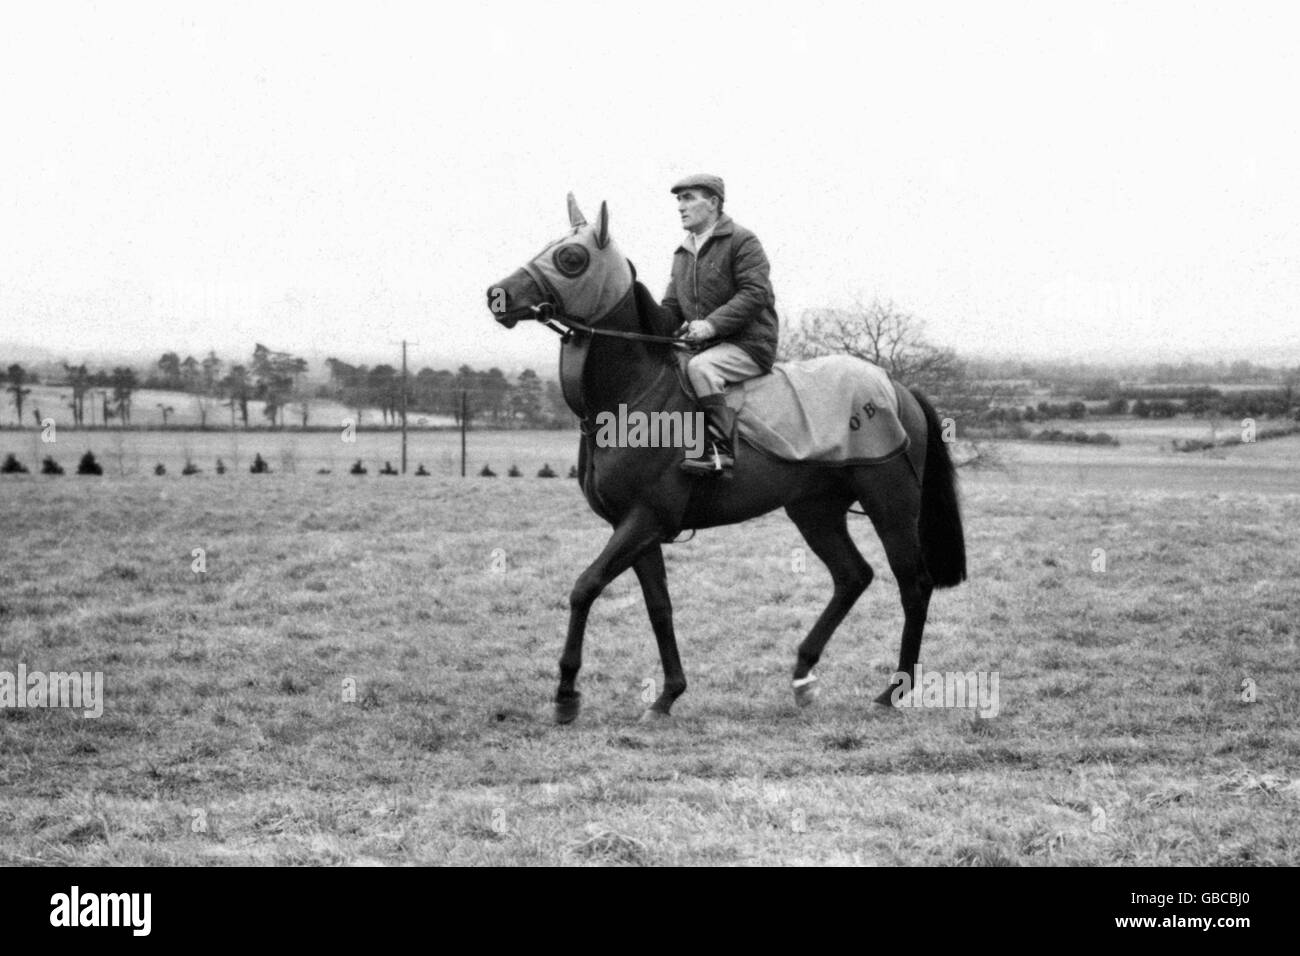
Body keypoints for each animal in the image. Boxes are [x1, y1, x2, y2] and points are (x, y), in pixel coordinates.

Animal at [486, 194, 966, 724]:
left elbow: (584, 587)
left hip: (890, 506)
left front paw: (567, 694)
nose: (497, 296)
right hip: (815, 511)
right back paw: (803, 676)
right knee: (852, 576)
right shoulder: (637, 529)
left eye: (571, 258)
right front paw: (667, 695)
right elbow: (660, 607)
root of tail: (896, 388)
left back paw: (892, 692)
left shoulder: (644, 520)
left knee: (913, 585)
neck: (635, 395)